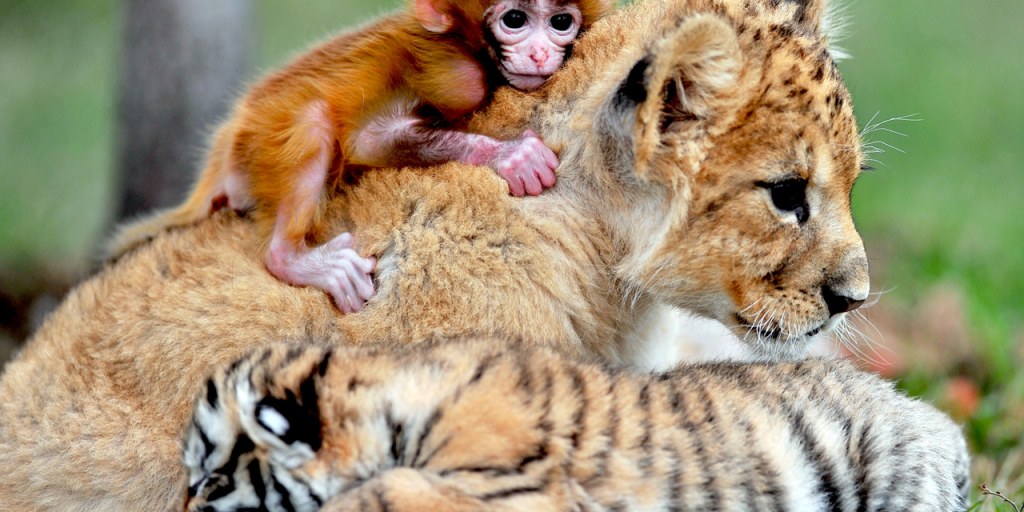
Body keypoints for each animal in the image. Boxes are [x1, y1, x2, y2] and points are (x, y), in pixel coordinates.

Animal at [109, 0, 611, 313]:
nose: (540, 52)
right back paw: (290, 259)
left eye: (561, 22)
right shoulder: (456, 76)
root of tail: (231, 136)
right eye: (515, 18)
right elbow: (368, 141)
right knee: (312, 122)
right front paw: (512, 155)